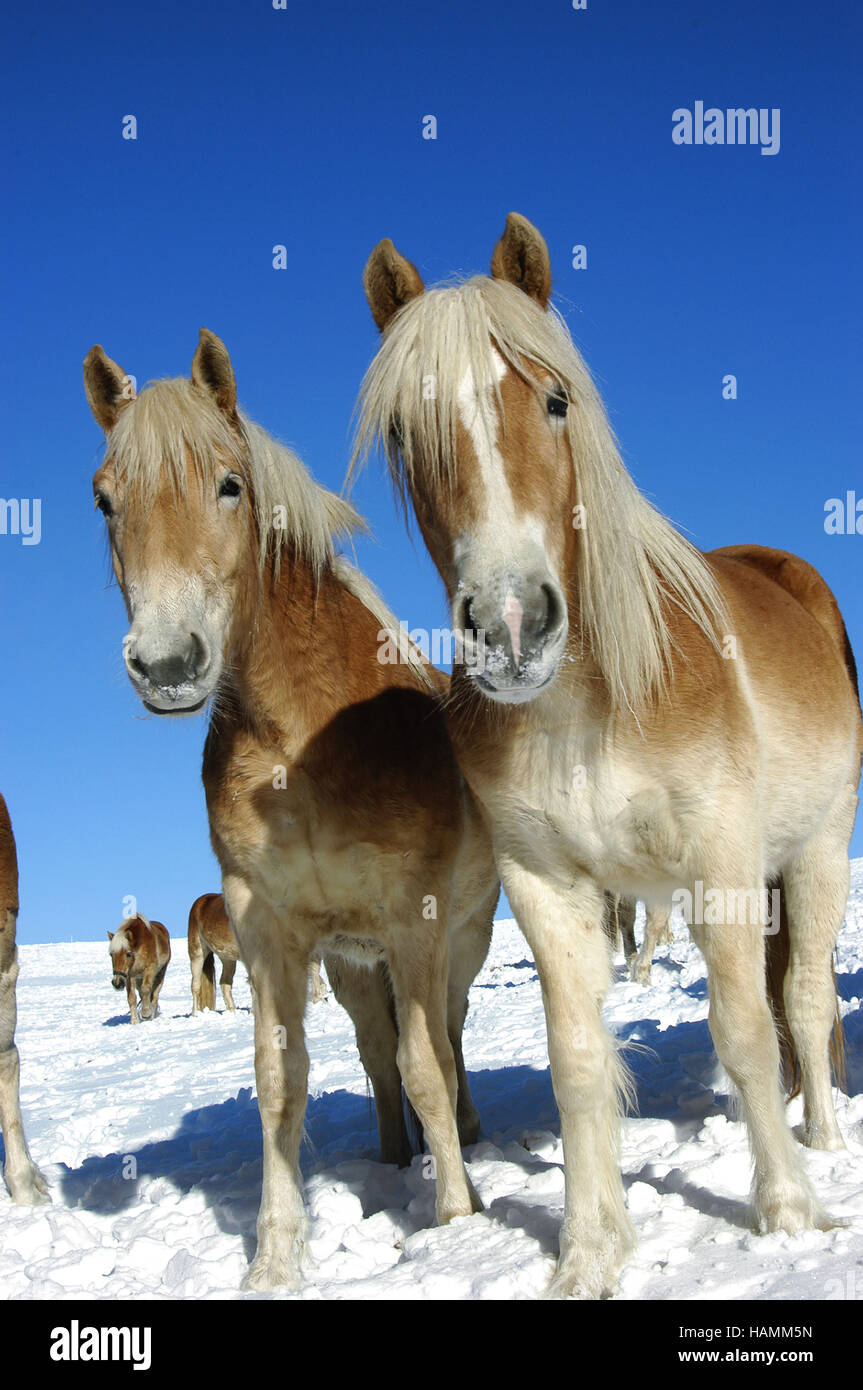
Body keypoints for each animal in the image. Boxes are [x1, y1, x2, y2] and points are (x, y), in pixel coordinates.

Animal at [84, 330, 499, 1291]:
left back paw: (462, 1143)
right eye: (104, 500)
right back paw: (393, 1155)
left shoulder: (414, 920)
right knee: (380, 1056)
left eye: (230, 484)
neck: (300, 742)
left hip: (454, 944)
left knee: (447, 1038)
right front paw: (275, 1256)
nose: (169, 663)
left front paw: (457, 1217)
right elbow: (282, 1080)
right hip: (350, 965)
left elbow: (429, 1062)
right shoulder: (268, 927)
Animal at [354, 211, 863, 1298]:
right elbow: (578, 1062)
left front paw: (784, 1213)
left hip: (812, 850)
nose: (510, 625)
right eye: (405, 436)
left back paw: (821, 1142)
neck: (587, 710)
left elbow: (744, 1031)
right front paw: (588, 1252)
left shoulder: (718, 860)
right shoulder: (546, 886)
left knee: (800, 1003)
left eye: (554, 400)